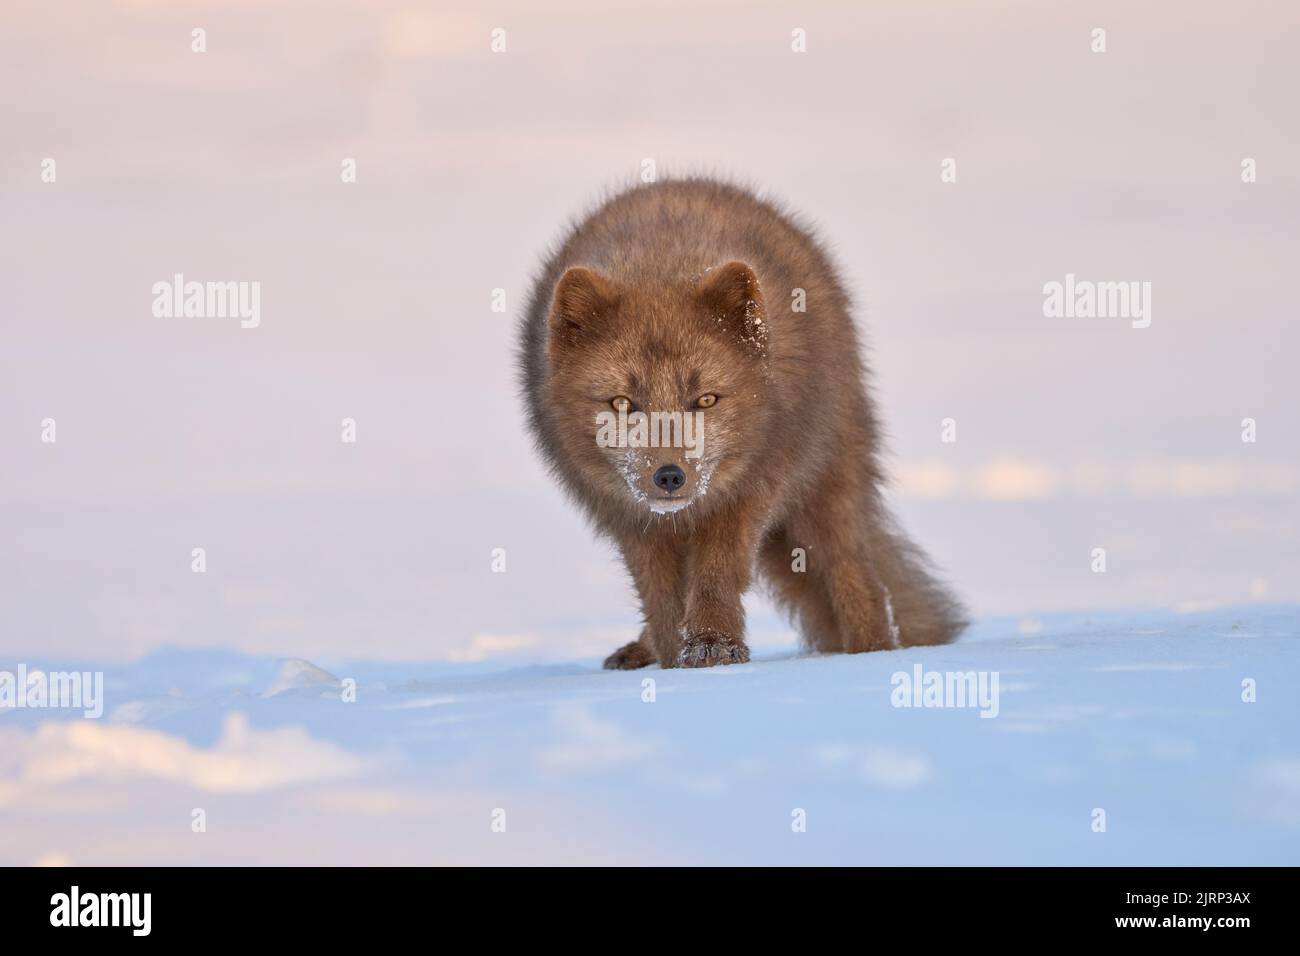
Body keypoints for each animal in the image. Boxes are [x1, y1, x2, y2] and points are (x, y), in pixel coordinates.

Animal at [519, 177, 967, 669]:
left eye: (705, 399)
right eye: (622, 403)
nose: (670, 476)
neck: (659, 262)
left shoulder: (749, 491)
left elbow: (717, 572)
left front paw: (713, 647)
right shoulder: (629, 517)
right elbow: (661, 599)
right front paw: (675, 661)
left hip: (827, 483)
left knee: (857, 574)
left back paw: (871, 654)